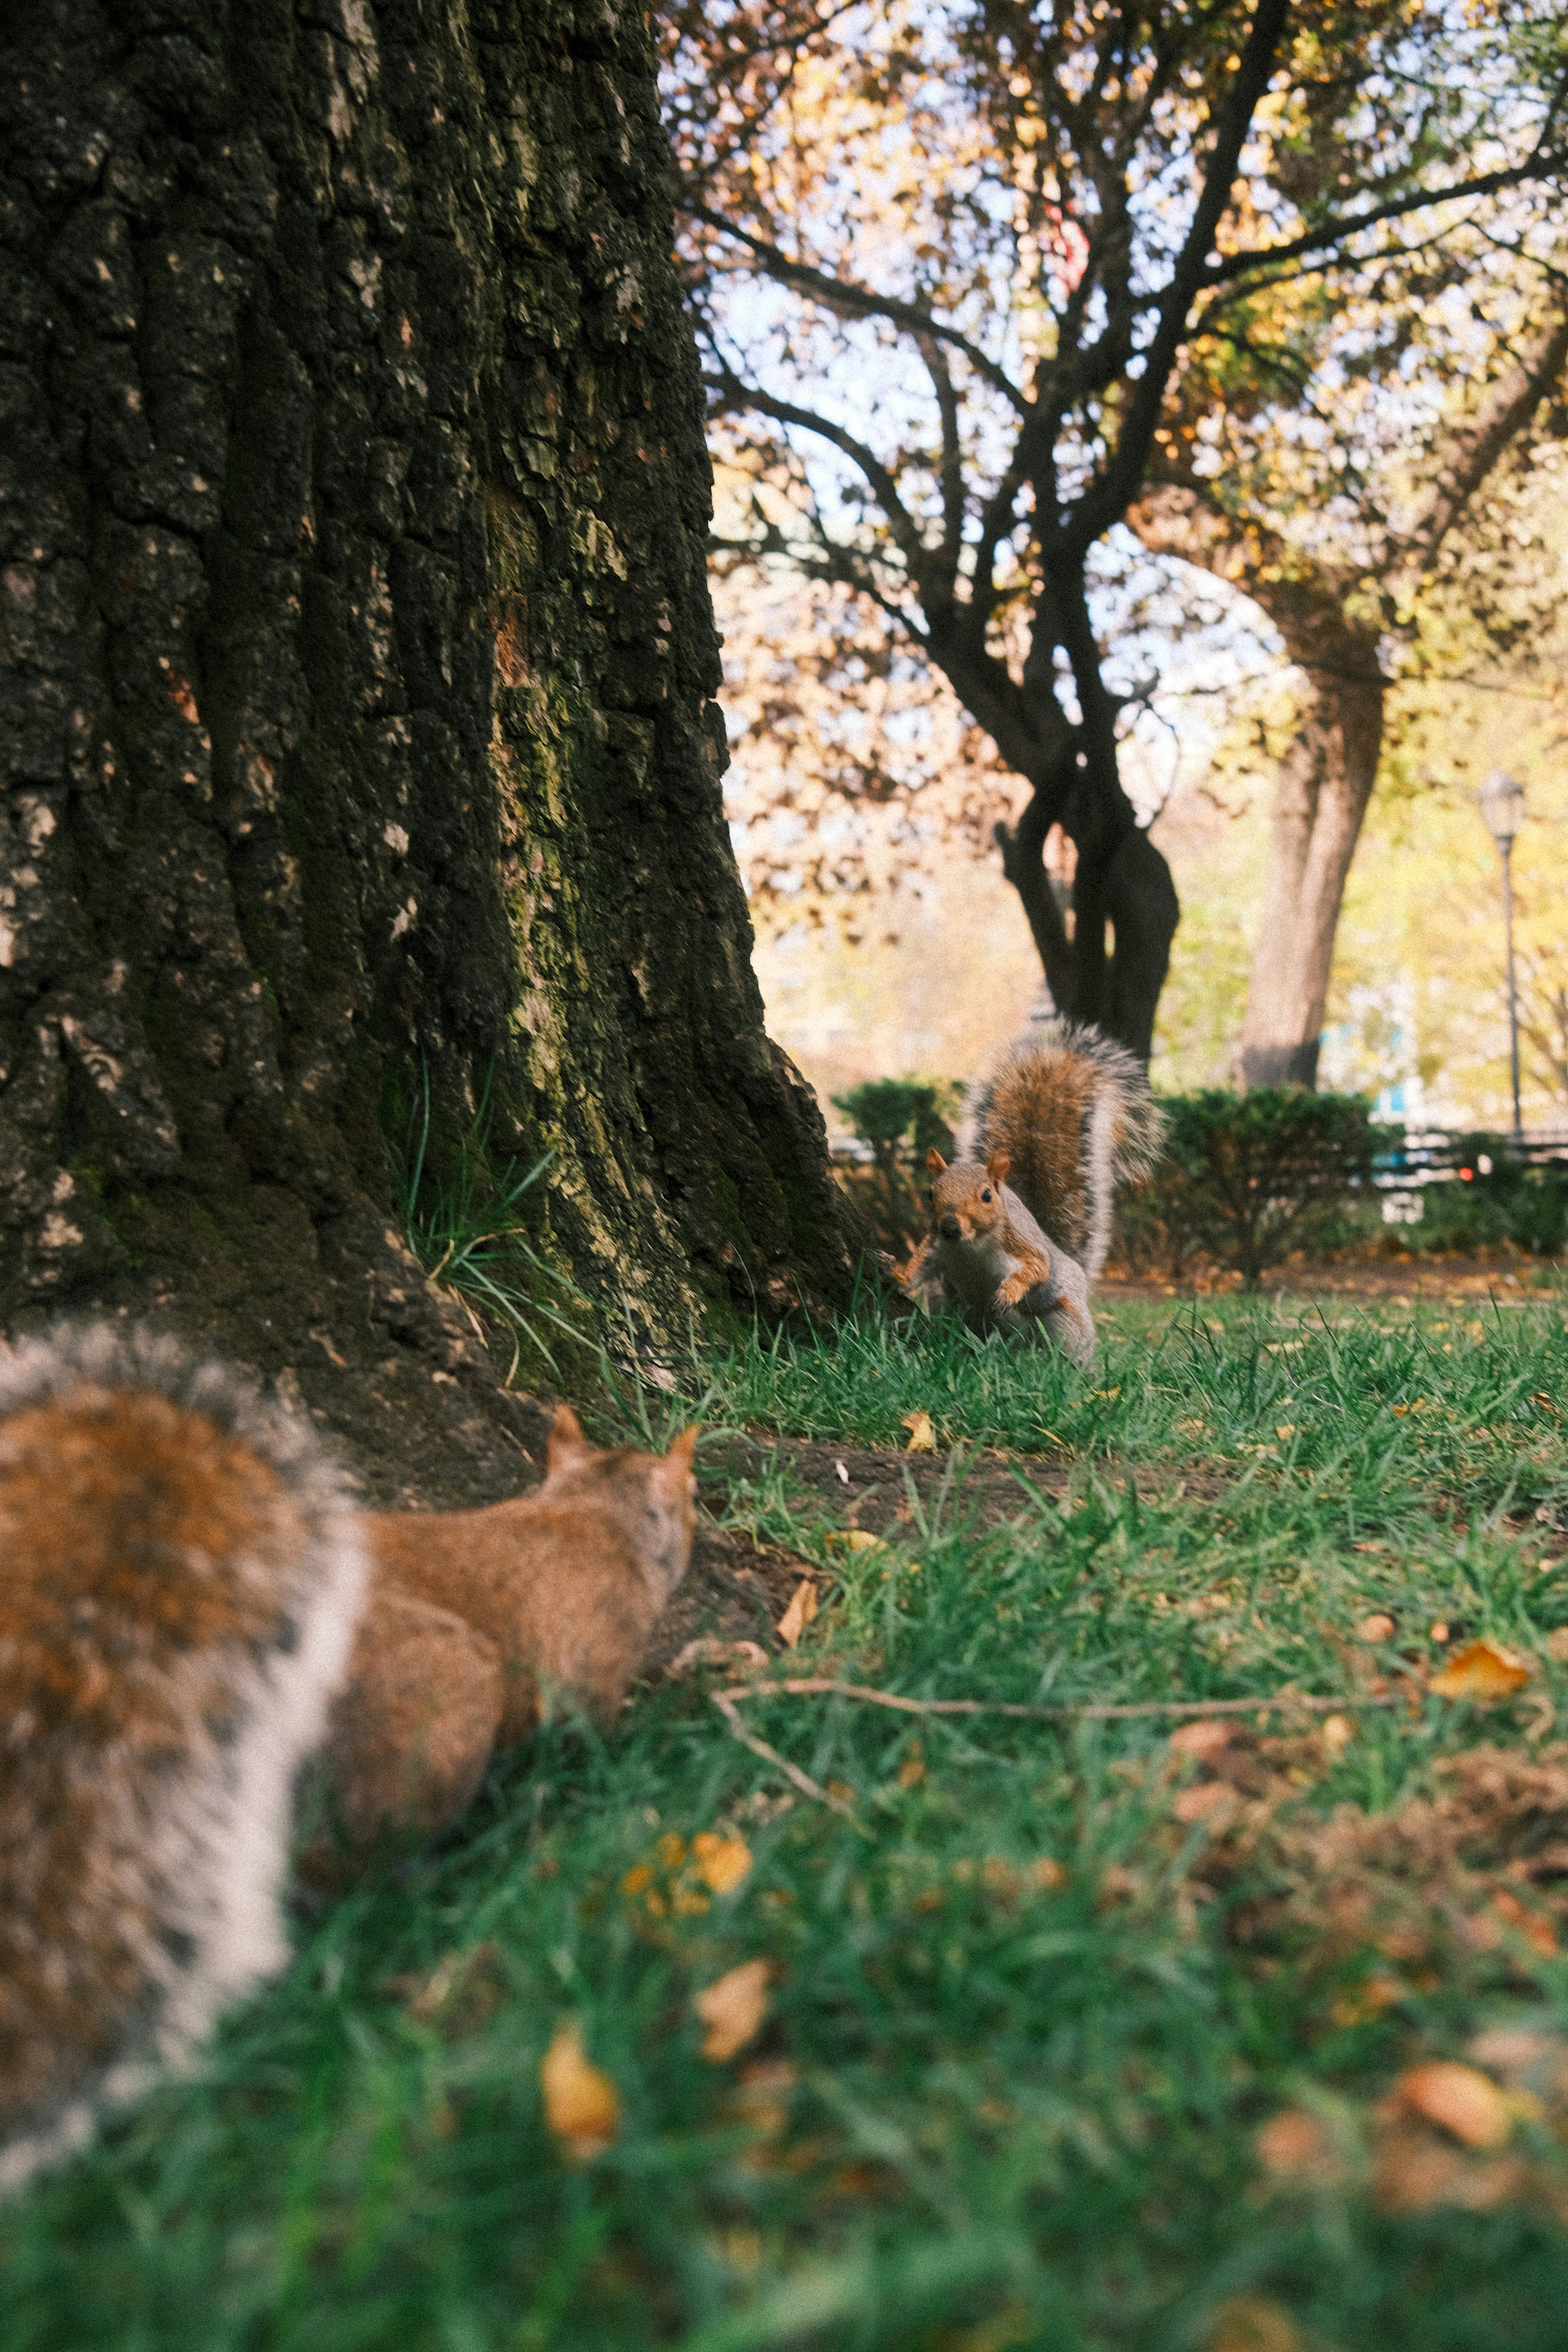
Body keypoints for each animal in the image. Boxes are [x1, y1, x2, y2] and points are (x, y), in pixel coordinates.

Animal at [903, 1016, 1163, 1358]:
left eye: (987, 1196)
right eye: (931, 1194)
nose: (949, 1227)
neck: (970, 1246)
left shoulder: (1022, 1244)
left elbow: (1038, 1268)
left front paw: (1009, 1292)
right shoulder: (937, 1247)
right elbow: (922, 1265)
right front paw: (898, 1275)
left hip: (1065, 1319)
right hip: (952, 1306)